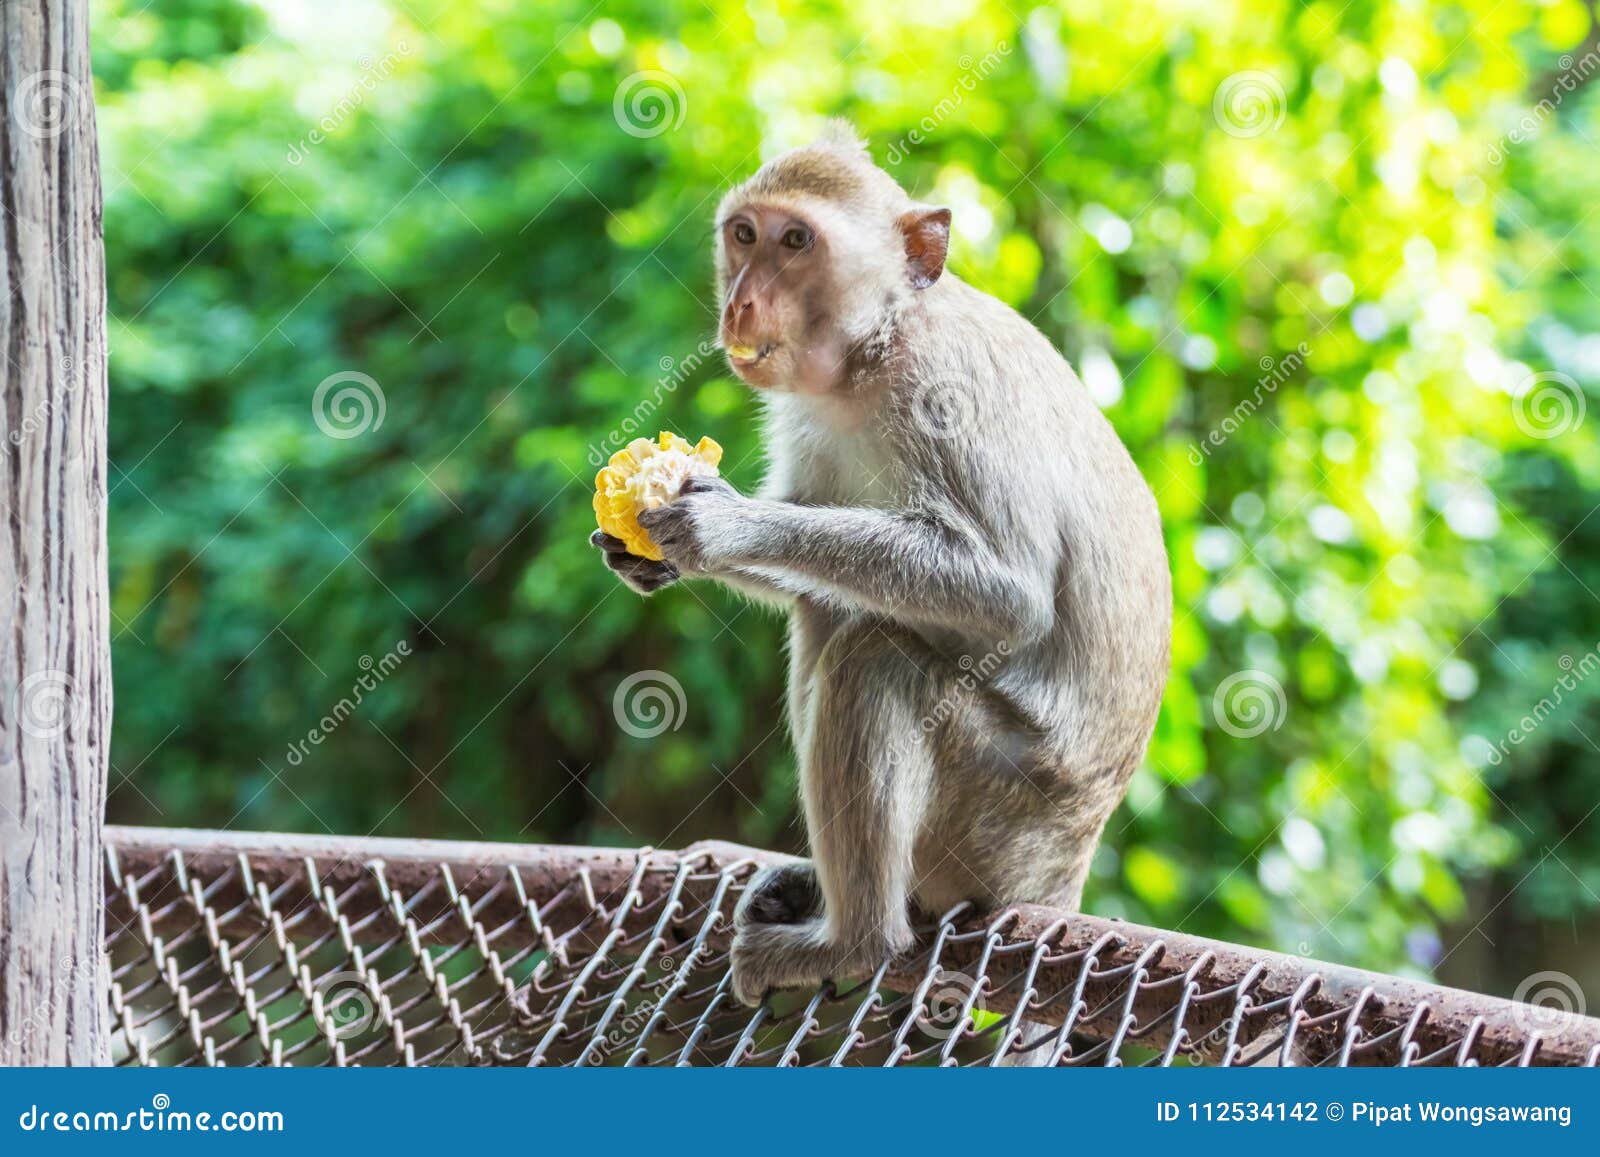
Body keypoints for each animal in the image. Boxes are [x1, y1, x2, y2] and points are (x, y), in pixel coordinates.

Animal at [590, 121, 1171, 1062]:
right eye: (744, 236)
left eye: (797, 242)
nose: (740, 305)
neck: (876, 349)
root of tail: (1062, 871)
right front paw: (652, 555)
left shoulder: (944, 395)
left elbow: (1008, 591)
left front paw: (719, 525)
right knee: (830, 607)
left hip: (1000, 816)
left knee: (873, 652)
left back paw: (859, 938)